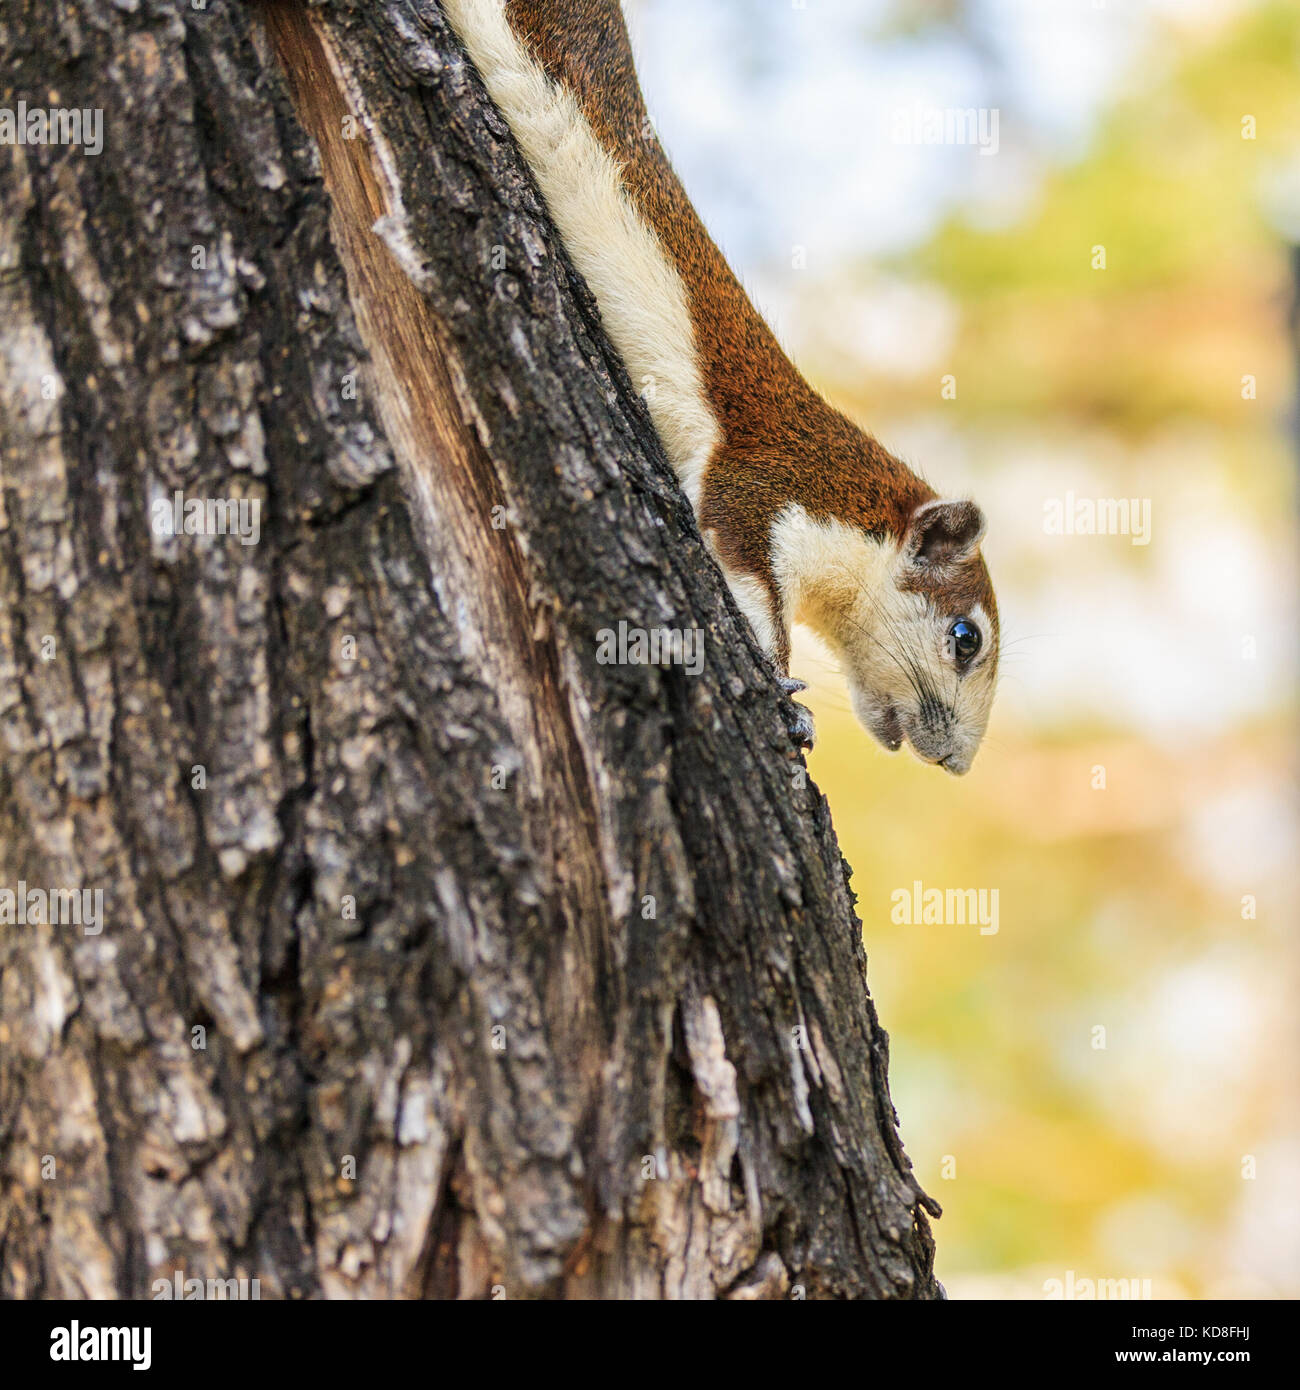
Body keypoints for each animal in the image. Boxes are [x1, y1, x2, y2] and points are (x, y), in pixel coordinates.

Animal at [442, 0, 999, 773]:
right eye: (965, 638)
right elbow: (751, 581)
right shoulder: (768, 488)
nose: (958, 764)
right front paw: (789, 700)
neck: (851, 504)